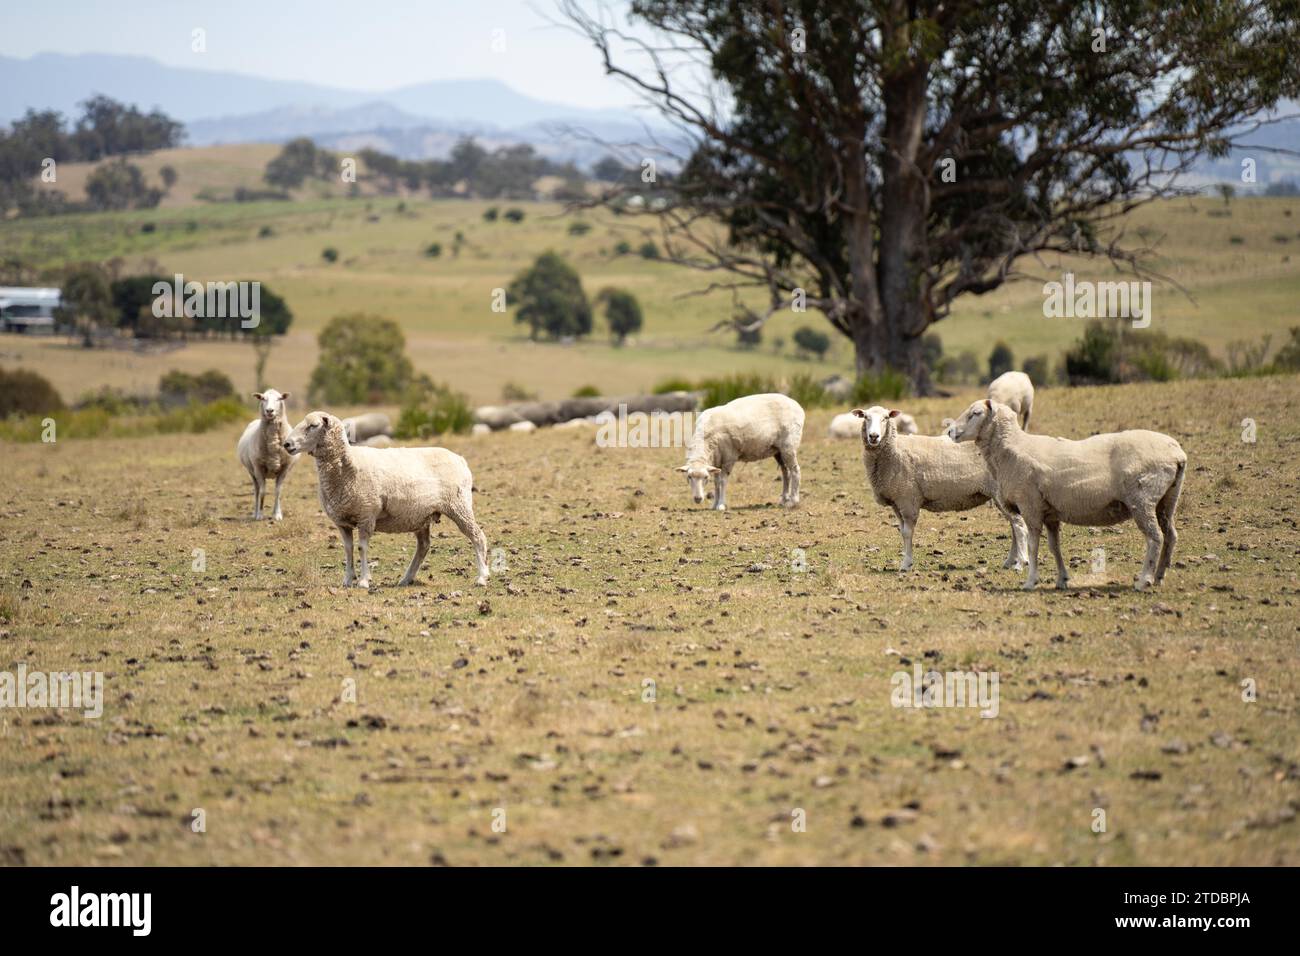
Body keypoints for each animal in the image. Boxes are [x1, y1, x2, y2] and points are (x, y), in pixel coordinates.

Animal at [237, 389, 298, 521]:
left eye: (279, 398)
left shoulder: (284, 468)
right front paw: (260, 514)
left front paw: (277, 514)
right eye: (263, 398)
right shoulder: (258, 468)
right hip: (251, 471)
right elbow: (263, 491)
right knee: (256, 490)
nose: (269, 411)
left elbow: (278, 491)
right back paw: (254, 513)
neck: (273, 442)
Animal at [283, 410, 489, 589]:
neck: (347, 466)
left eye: (313, 425)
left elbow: (362, 548)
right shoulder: (342, 522)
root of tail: (460, 458)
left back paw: (482, 576)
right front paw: (348, 580)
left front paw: (363, 581)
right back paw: (406, 579)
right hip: (421, 516)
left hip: (459, 505)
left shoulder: (366, 515)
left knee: (477, 536)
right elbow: (348, 550)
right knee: (423, 546)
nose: (287, 444)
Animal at [853, 406, 1028, 572]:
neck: (895, 450)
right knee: (1014, 526)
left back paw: (1020, 563)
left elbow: (907, 533)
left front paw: (906, 564)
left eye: (885, 418)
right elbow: (902, 532)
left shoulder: (908, 499)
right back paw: (1009, 561)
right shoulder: (897, 502)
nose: (873, 436)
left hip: (1000, 492)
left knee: (1019, 526)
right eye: (866, 417)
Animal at [947, 399, 1186, 591]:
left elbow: (1033, 546)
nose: (950, 432)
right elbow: (1055, 548)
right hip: (1167, 500)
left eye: (976, 413)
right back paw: (1159, 577)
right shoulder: (1050, 512)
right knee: (1171, 535)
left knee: (1155, 537)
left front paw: (1030, 581)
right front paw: (1062, 579)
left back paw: (1144, 580)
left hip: (1142, 500)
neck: (1010, 450)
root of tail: (1177, 453)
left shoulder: (1030, 506)